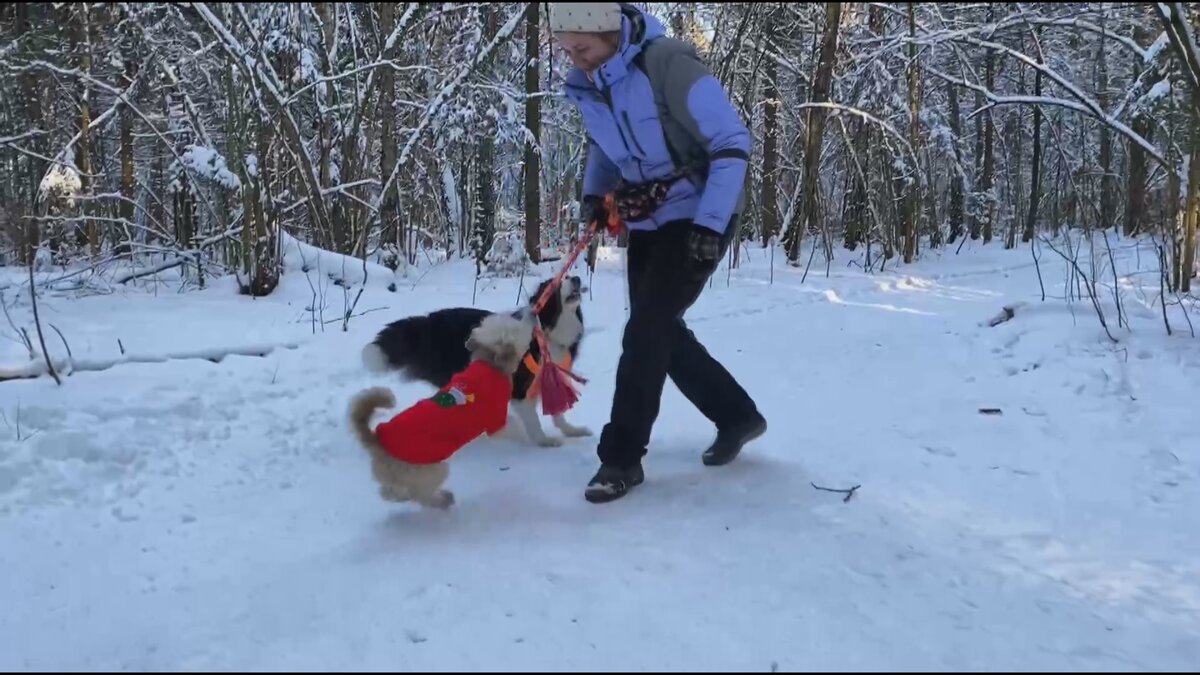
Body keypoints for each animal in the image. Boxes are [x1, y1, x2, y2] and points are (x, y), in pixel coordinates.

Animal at [348, 309, 535, 504]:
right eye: (517, 327)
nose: (531, 313)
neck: (489, 363)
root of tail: (378, 440)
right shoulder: (495, 421)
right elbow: (515, 427)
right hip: (431, 470)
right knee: (419, 494)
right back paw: (442, 500)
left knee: (389, 492)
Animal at [362, 275, 592, 446]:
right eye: (557, 282)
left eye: (569, 276)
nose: (577, 278)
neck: (548, 330)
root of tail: (424, 322)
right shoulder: (520, 388)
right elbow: (533, 421)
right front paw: (544, 441)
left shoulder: (551, 378)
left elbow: (559, 413)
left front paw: (571, 431)